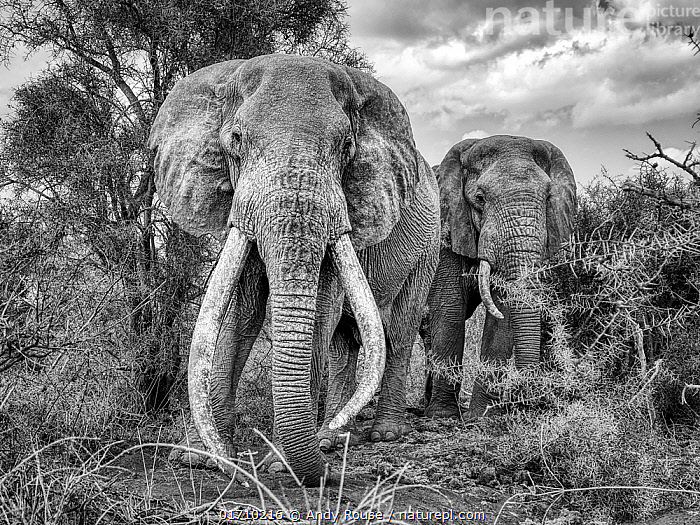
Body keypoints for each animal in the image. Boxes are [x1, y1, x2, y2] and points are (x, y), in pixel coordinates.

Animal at [148, 54, 440, 485]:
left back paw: (381, 434)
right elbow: (237, 312)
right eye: (236, 140)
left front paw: (279, 465)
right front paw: (198, 458)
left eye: (346, 146)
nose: (239, 471)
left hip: (429, 249)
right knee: (344, 345)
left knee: (399, 331)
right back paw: (333, 438)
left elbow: (319, 309)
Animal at [422, 135, 576, 419]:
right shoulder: (445, 229)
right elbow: (449, 307)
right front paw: (442, 417)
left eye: (549, 197)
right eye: (479, 198)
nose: (530, 403)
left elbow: (502, 313)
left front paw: (480, 418)